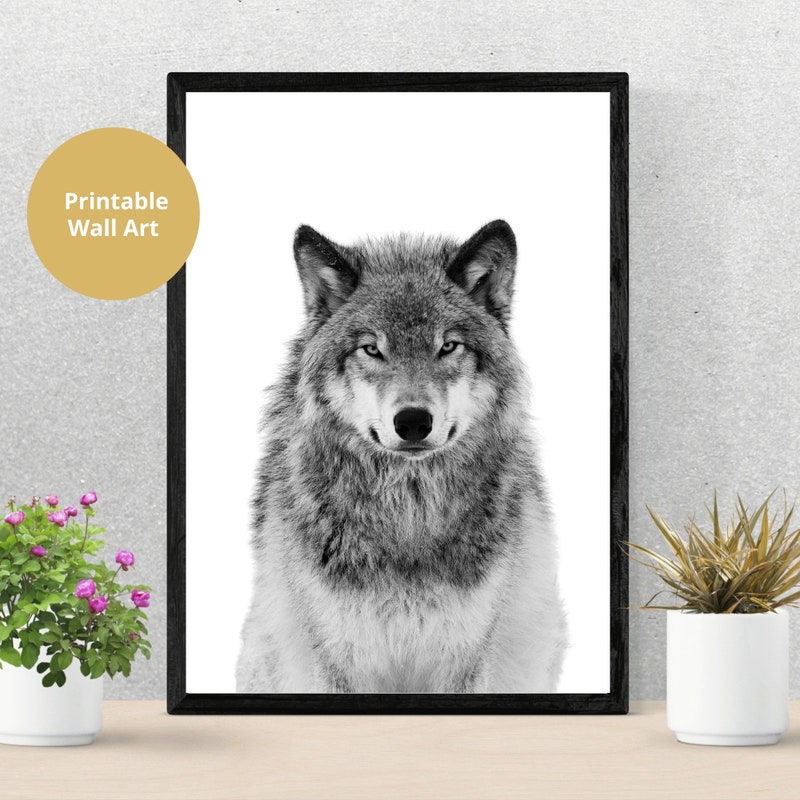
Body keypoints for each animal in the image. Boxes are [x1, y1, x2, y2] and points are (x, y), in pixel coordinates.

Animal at [236, 220, 567, 694]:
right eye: (372, 349)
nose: (412, 421)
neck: (408, 516)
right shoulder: (337, 657)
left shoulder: (465, 657)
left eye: (448, 346)